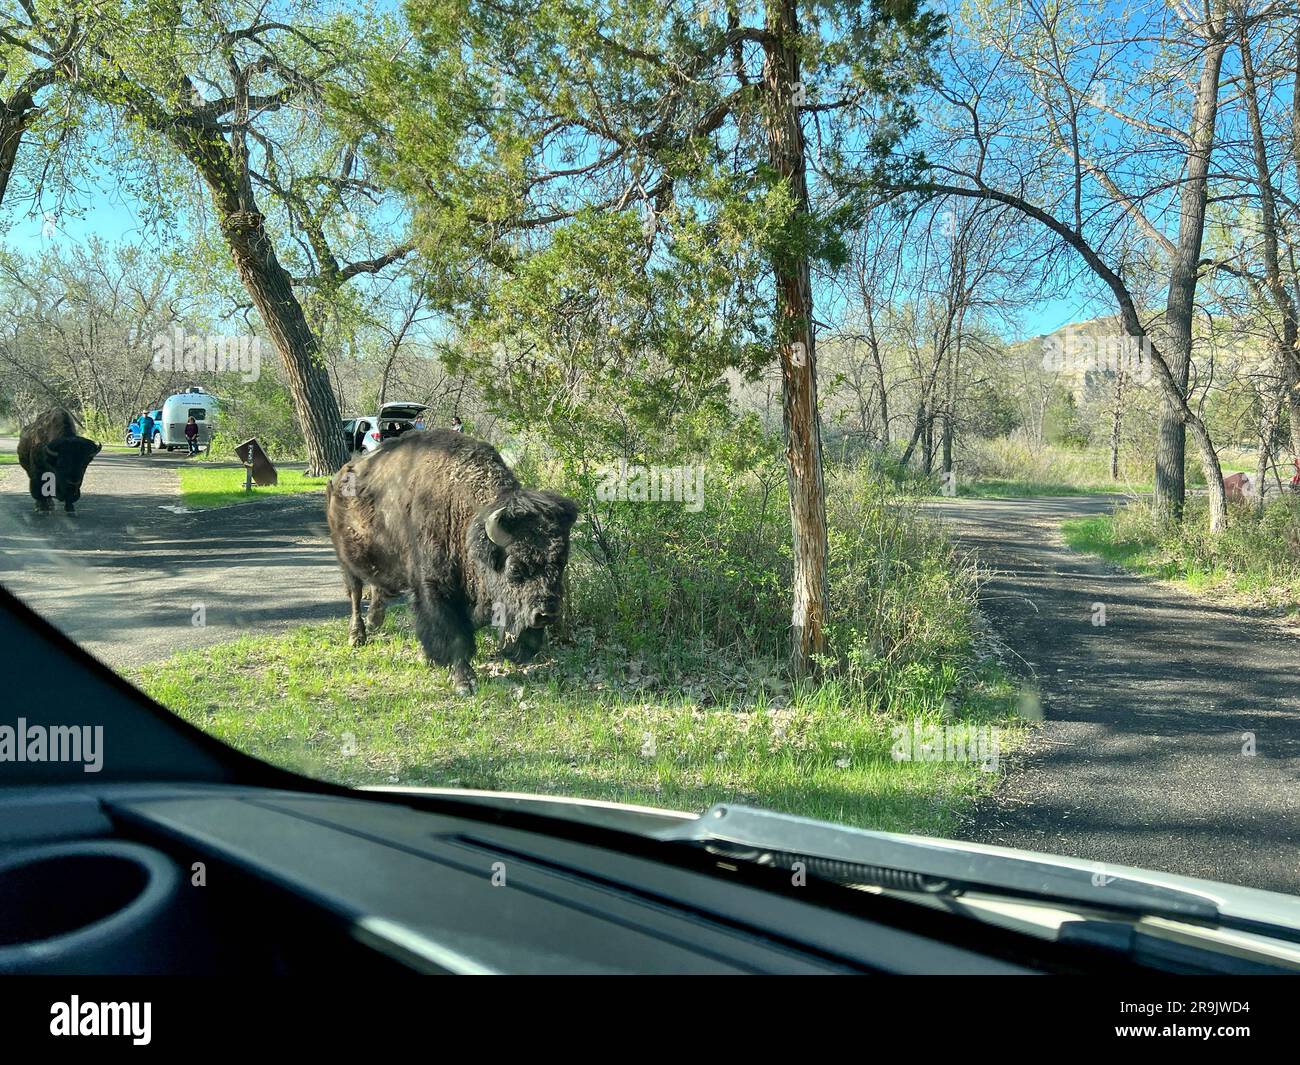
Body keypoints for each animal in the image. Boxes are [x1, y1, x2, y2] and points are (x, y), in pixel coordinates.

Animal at [326, 429, 579, 694]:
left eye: (560, 563)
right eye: (515, 568)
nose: (546, 613)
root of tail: (339, 476)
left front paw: (427, 658)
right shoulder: (435, 589)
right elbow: (453, 632)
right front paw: (464, 682)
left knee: (378, 585)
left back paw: (375, 621)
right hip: (345, 560)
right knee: (355, 593)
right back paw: (357, 636)